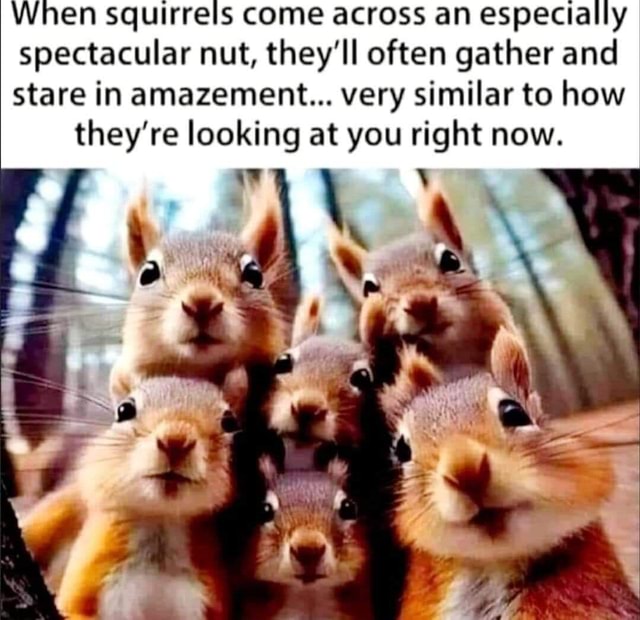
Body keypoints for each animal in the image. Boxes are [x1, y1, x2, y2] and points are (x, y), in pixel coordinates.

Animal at [22, 376, 243, 620]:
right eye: (124, 410)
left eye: (230, 422)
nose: (176, 439)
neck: (159, 520)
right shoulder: (89, 582)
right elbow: (74, 610)